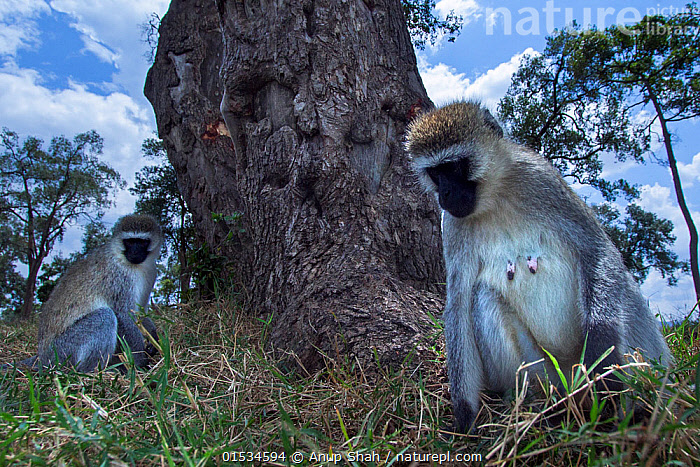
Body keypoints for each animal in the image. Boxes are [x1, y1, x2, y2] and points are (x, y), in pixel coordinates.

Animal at [2, 214, 163, 373]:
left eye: (142, 242)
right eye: (129, 242)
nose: (135, 253)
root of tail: (42, 357)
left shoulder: (151, 273)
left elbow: (140, 312)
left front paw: (154, 338)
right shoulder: (118, 277)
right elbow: (124, 315)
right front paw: (140, 364)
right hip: (63, 350)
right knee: (105, 316)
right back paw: (93, 371)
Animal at [405, 101, 672, 434]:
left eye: (453, 167)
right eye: (434, 173)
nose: (446, 194)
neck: (496, 195)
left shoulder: (541, 177)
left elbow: (597, 250)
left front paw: (603, 356)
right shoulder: (452, 224)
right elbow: (459, 302)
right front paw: (465, 416)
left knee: (622, 286)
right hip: (544, 371)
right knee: (483, 297)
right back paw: (537, 405)